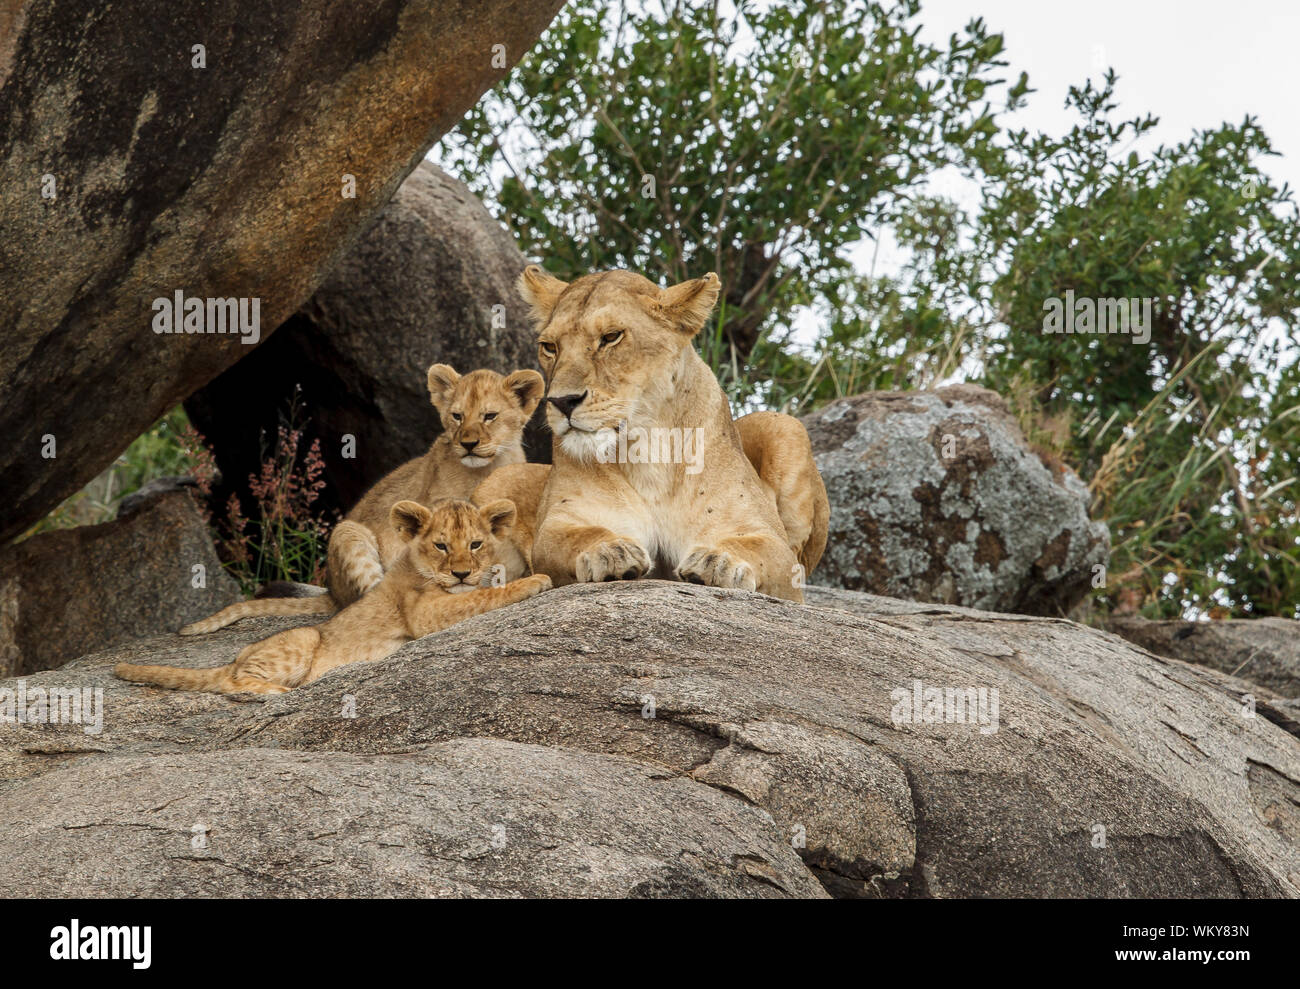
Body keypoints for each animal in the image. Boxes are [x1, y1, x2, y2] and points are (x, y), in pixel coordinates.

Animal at [117, 499, 551, 694]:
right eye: (441, 546)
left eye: (476, 544)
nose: (462, 572)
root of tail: (234, 657)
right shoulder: (423, 613)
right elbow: (479, 598)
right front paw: (535, 581)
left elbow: (480, 591)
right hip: (303, 638)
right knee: (231, 682)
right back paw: (278, 691)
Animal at [181, 364, 544, 634]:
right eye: (456, 416)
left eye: (489, 416)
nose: (468, 444)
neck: (484, 468)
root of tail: (332, 592)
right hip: (349, 533)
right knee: (371, 598)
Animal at [499, 265, 828, 602]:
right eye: (550, 347)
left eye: (611, 337)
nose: (562, 402)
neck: (646, 449)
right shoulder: (560, 521)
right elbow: (572, 537)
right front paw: (609, 551)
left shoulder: (770, 545)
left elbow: (756, 546)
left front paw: (718, 561)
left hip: (785, 425)